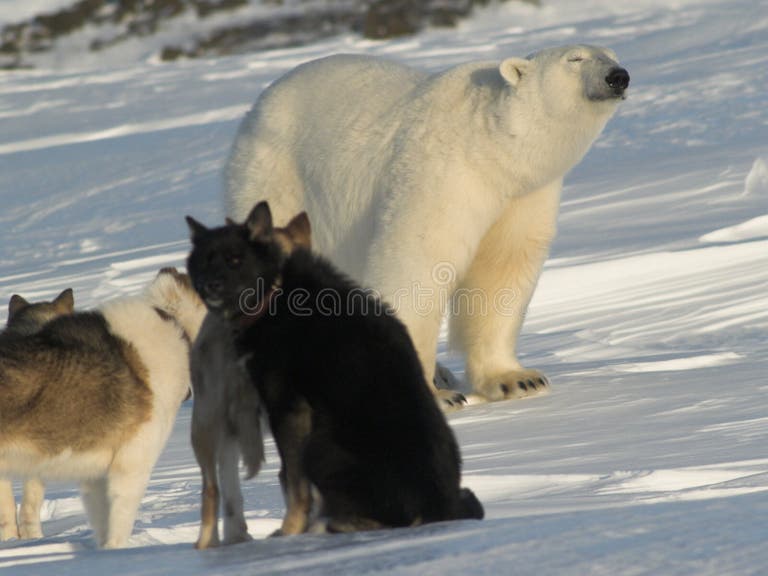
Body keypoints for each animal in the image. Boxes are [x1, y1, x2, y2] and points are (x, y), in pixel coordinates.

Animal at [224, 45, 629, 406]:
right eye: (575, 58)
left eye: (611, 55)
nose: (618, 76)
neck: (491, 147)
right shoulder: (443, 174)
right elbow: (418, 266)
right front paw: (438, 396)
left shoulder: (523, 197)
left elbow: (503, 269)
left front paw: (519, 379)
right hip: (279, 181)